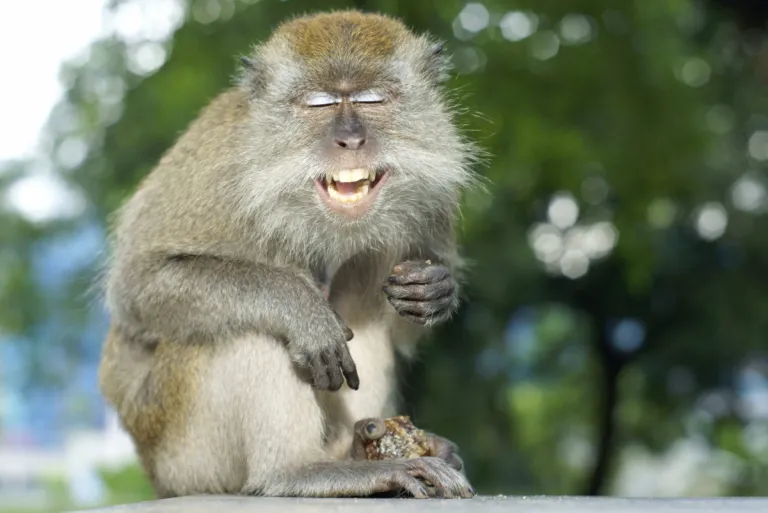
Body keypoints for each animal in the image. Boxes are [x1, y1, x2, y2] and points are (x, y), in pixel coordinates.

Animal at [97, 9, 481, 499]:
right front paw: (300, 307)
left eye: (371, 100)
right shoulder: (220, 163)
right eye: (320, 104)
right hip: (183, 452)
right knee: (249, 329)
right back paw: (296, 470)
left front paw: (435, 289)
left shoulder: (434, 194)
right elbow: (139, 284)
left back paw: (357, 451)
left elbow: (401, 322)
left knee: (370, 264)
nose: (350, 139)